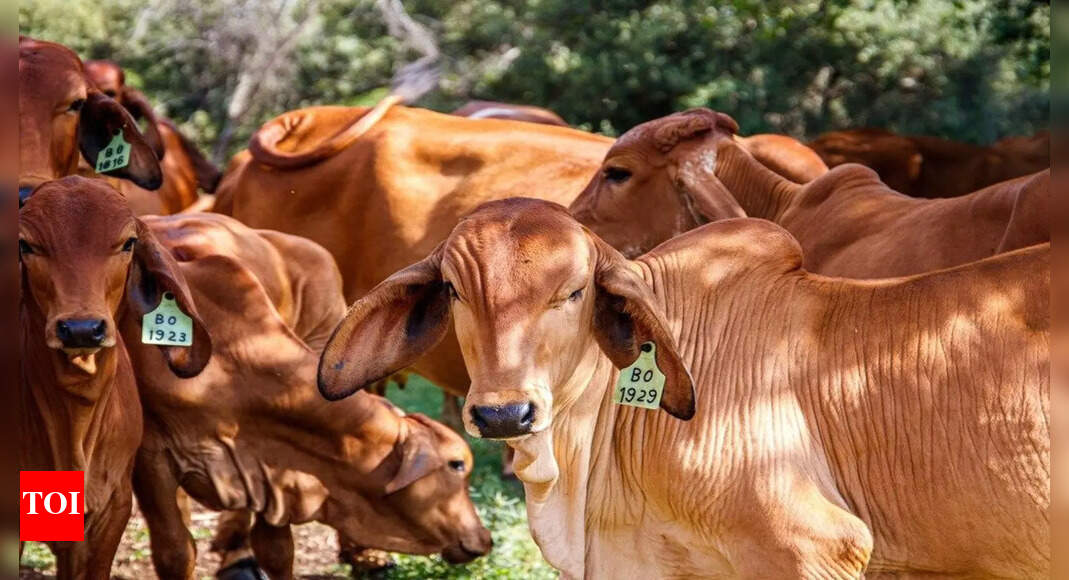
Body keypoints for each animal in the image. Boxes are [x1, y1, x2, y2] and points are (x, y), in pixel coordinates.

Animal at [124, 213, 491, 579]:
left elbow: (277, 551)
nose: (485, 538)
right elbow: (175, 550)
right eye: (457, 465)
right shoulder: (151, 457)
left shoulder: (274, 470)